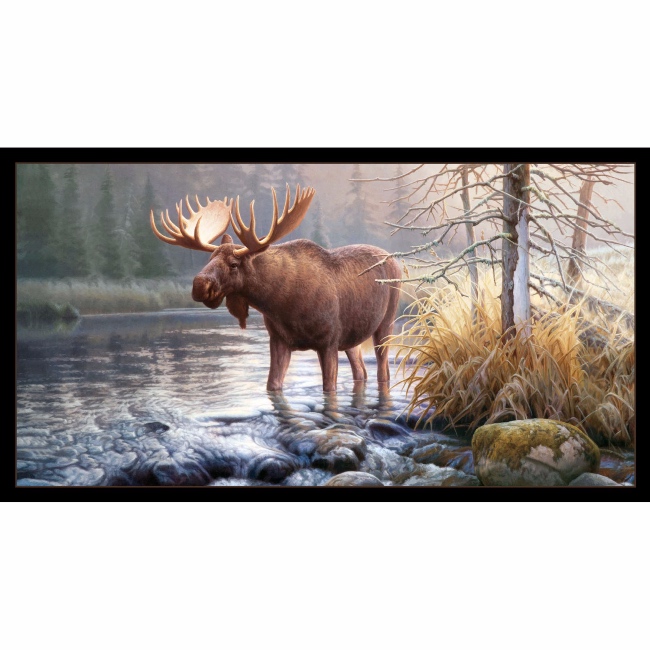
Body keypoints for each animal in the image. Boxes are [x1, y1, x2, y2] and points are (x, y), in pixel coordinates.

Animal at [150, 184, 402, 393]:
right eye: (209, 258)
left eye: (233, 264)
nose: (199, 285)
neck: (280, 303)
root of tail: (395, 260)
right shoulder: (279, 340)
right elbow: (272, 385)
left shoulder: (328, 342)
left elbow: (329, 388)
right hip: (352, 338)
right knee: (361, 371)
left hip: (385, 323)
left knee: (383, 370)